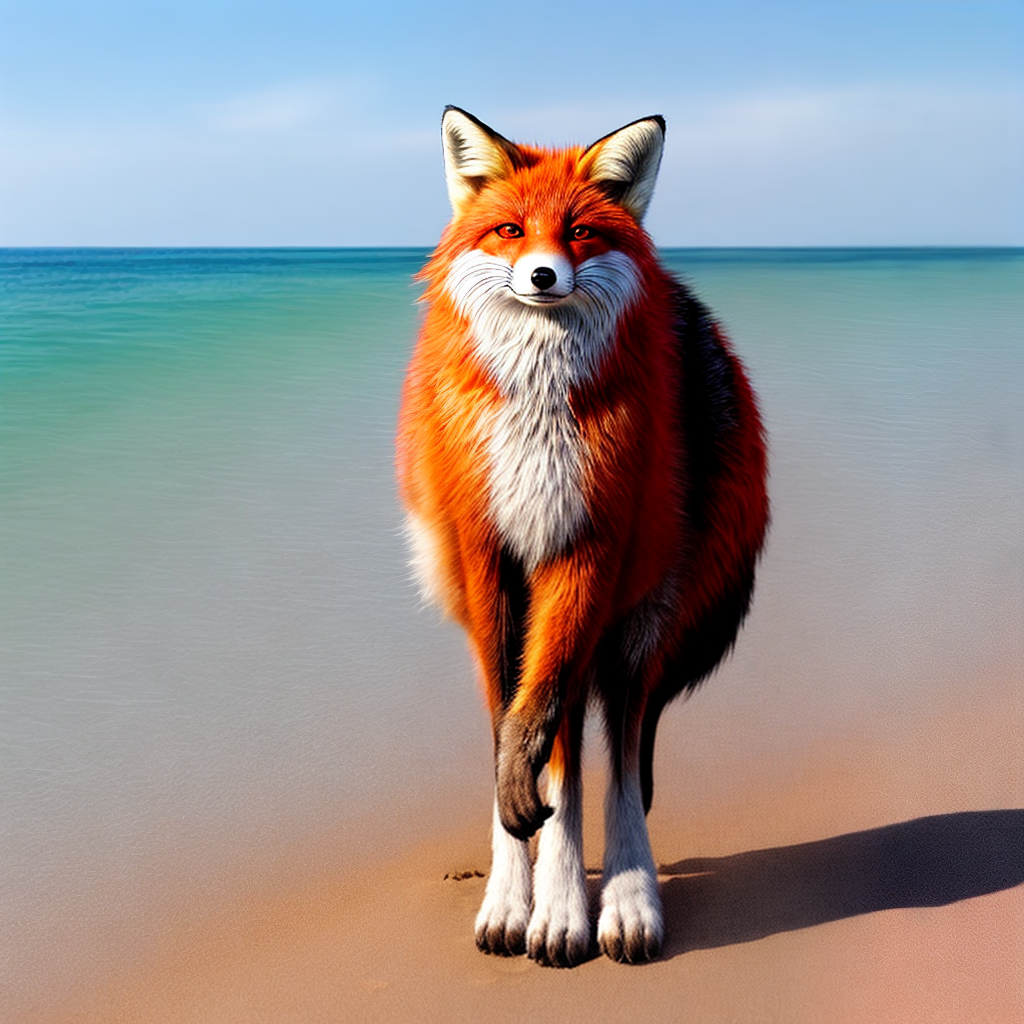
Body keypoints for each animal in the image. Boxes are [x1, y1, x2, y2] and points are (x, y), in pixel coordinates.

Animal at [396, 107, 769, 966]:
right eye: (510, 230)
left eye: (579, 233)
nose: (542, 277)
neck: (539, 414)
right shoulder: (489, 555)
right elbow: (509, 733)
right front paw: (513, 891)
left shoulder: (587, 544)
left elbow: (555, 746)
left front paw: (562, 903)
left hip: (639, 618)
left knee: (619, 757)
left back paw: (618, 903)